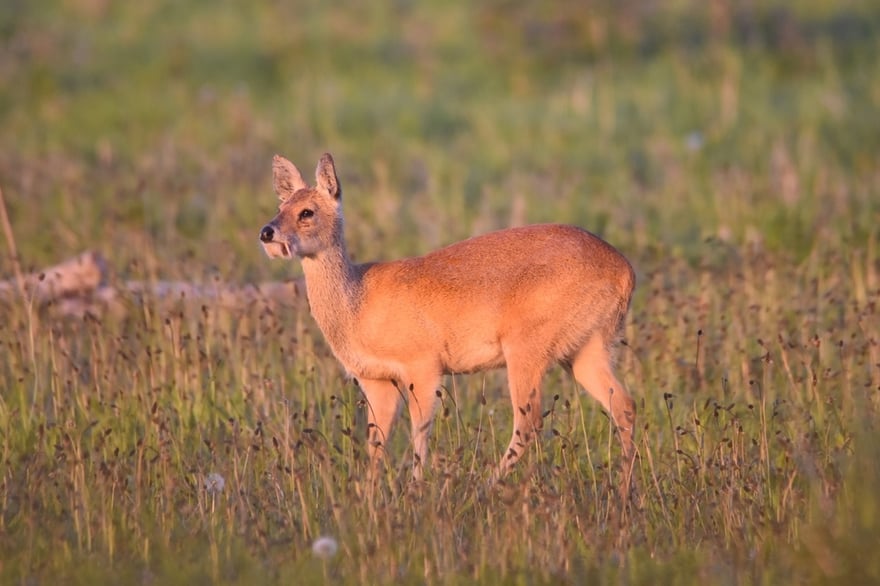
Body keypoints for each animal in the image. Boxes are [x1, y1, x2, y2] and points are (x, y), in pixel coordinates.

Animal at [259, 153, 637, 488]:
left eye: (306, 211)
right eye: (280, 207)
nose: (267, 233)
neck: (357, 305)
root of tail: (625, 272)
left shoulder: (423, 365)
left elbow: (420, 431)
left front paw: (415, 489)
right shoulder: (376, 380)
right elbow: (376, 443)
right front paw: (369, 497)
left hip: (527, 347)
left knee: (529, 421)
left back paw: (485, 486)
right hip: (585, 348)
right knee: (624, 405)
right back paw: (624, 490)